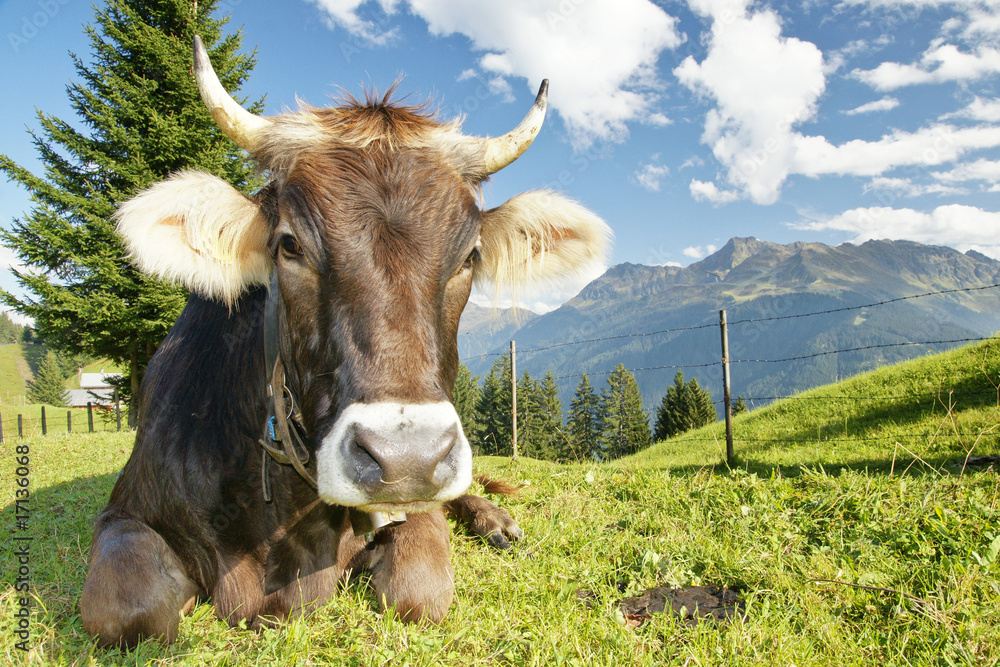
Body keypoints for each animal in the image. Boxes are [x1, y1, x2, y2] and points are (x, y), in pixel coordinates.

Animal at [78, 36, 610, 648]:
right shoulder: (126, 509)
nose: (407, 459)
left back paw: (495, 520)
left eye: (470, 255)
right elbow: (129, 611)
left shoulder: (415, 511)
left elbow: (418, 591)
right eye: (288, 245)